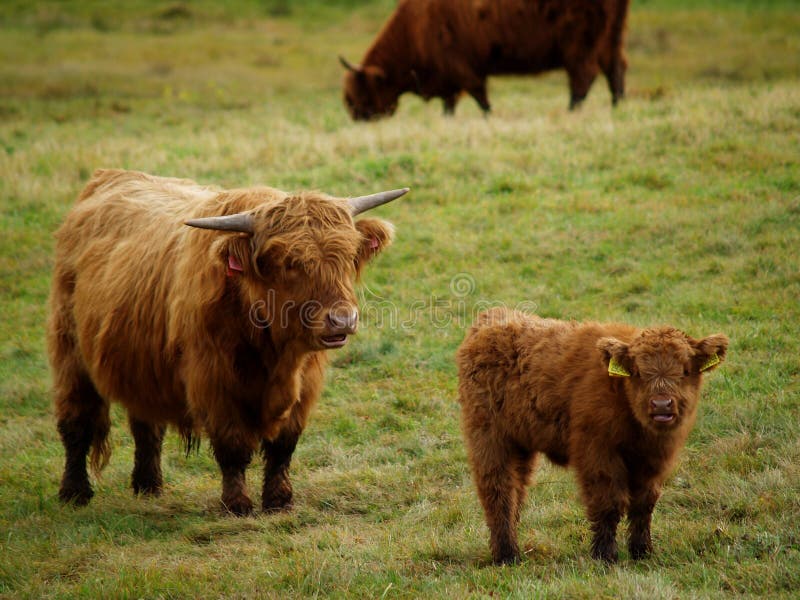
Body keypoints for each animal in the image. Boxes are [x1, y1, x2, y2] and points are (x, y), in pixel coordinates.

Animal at [48, 169, 408, 516]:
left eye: (348, 255)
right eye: (289, 262)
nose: (342, 320)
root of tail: (107, 177)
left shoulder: (306, 383)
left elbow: (283, 446)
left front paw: (280, 500)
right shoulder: (214, 382)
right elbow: (233, 447)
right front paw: (237, 505)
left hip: (141, 363)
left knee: (146, 424)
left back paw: (148, 486)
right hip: (69, 350)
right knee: (77, 421)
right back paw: (74, 492)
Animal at [340, 0, 630, 120]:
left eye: (360, 90)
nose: (355, 114)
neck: (415, 26)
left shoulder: (462, 69)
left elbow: (479, 98)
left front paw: (489, 117)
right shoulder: (449, 77)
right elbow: (451, 103)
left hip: (580, 43)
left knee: (583, 77)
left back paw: (570, 112)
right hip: (610, 38)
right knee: (615, 70)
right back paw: (618, 108)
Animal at [456, 307, 728, 564]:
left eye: (685, 370)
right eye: (638, 372)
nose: (661, 405)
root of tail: (491, 317)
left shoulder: (654, 460)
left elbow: (644, 504)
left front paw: (642, 551)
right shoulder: (597, 452)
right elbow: (608, 503)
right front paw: (605, 555)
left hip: (520, 443)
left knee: (516, 491)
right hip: (488, 436)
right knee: (497, 489)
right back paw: (507, 555)